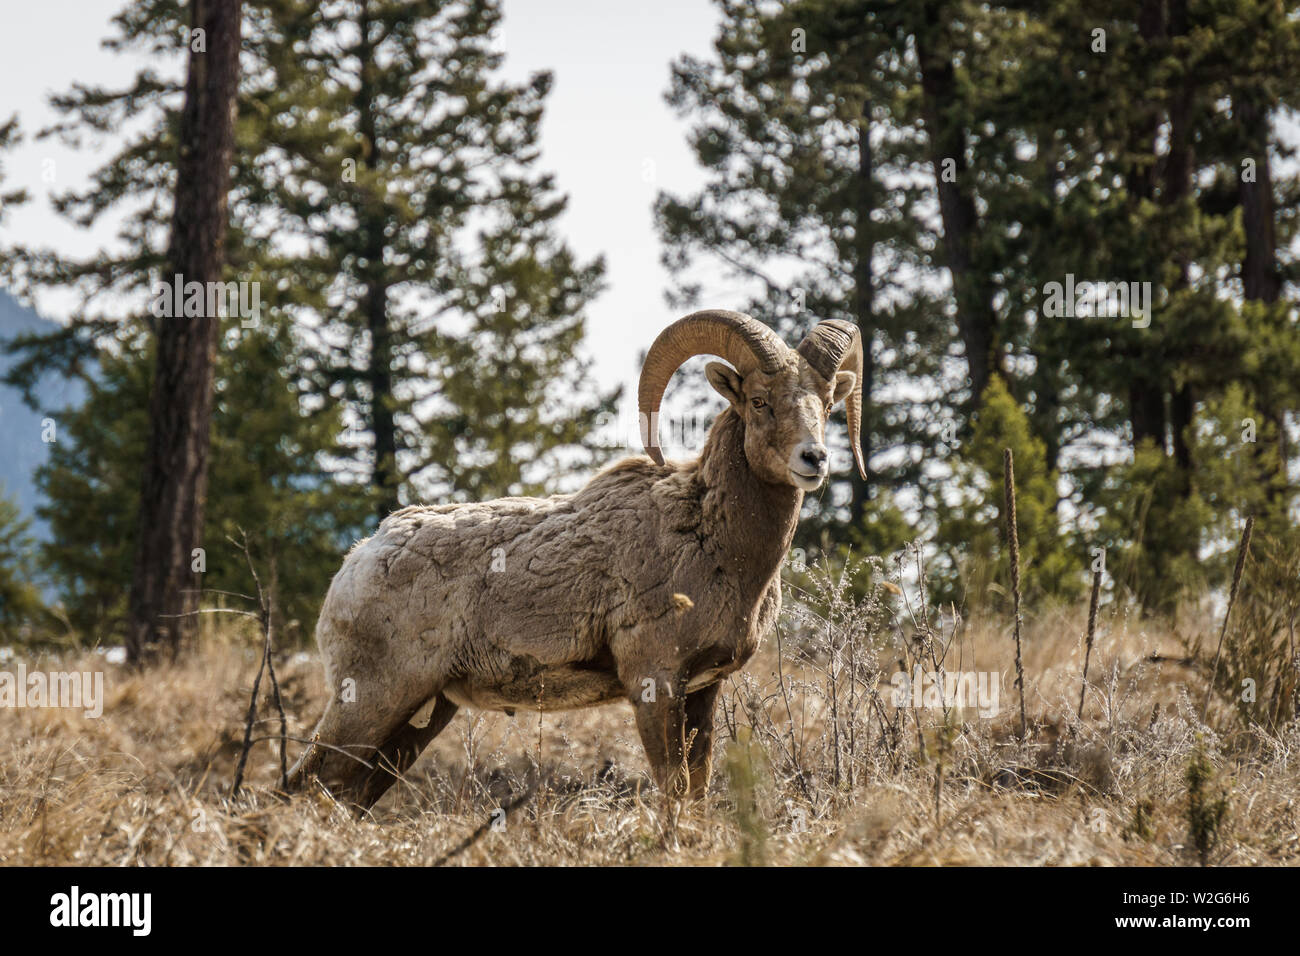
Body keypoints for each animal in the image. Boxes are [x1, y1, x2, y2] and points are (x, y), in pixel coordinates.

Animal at [286, 309, 865, 811]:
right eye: (761, 401)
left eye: (826, 403)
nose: (814, 459)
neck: (714, 540)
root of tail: (361, 557)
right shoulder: (654, 683)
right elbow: (674, 792)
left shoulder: (703, 691)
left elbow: (696, 794)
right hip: (371, 702)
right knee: (304, 785)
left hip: (418, 718)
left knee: (345, 795)